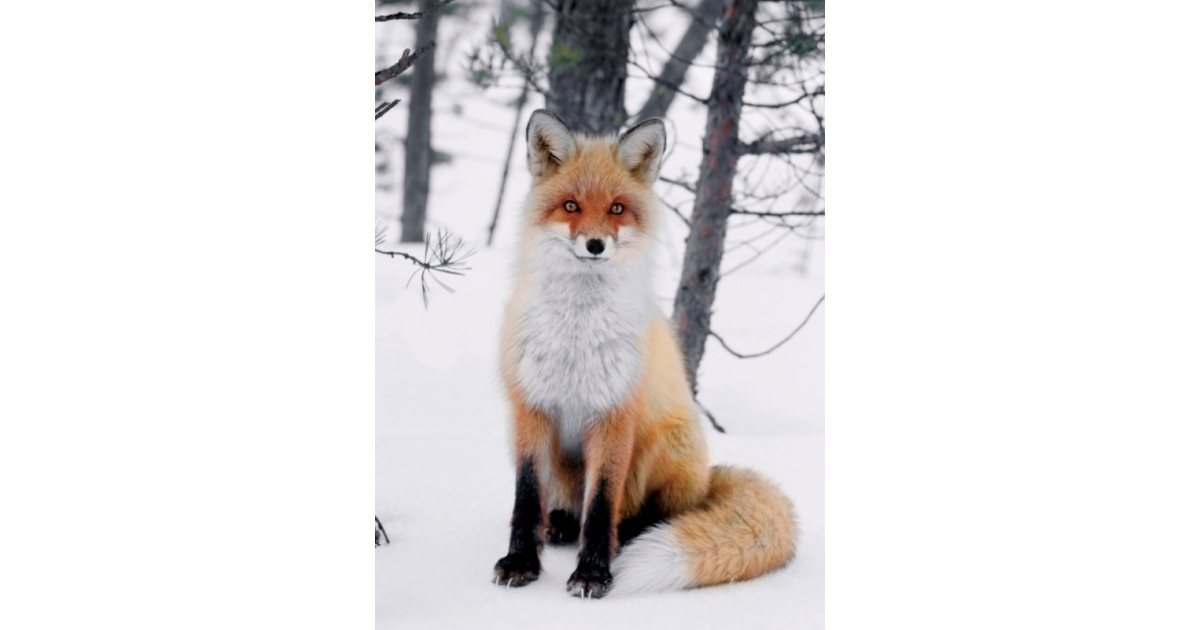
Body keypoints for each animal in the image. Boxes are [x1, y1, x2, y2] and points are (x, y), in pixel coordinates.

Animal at [493, 110, 797, 599]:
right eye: (571, 206)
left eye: (617, 208)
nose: (595, 245)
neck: (577, 334)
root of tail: (709, 477)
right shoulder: (530, 407)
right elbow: (525, 499)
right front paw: (521, 561)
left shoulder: (615, 413)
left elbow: (601, 504)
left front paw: (593, 573)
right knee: (567, 509)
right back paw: (560, 524)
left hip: (668, 443)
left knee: (653, 512)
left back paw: (634, 534)